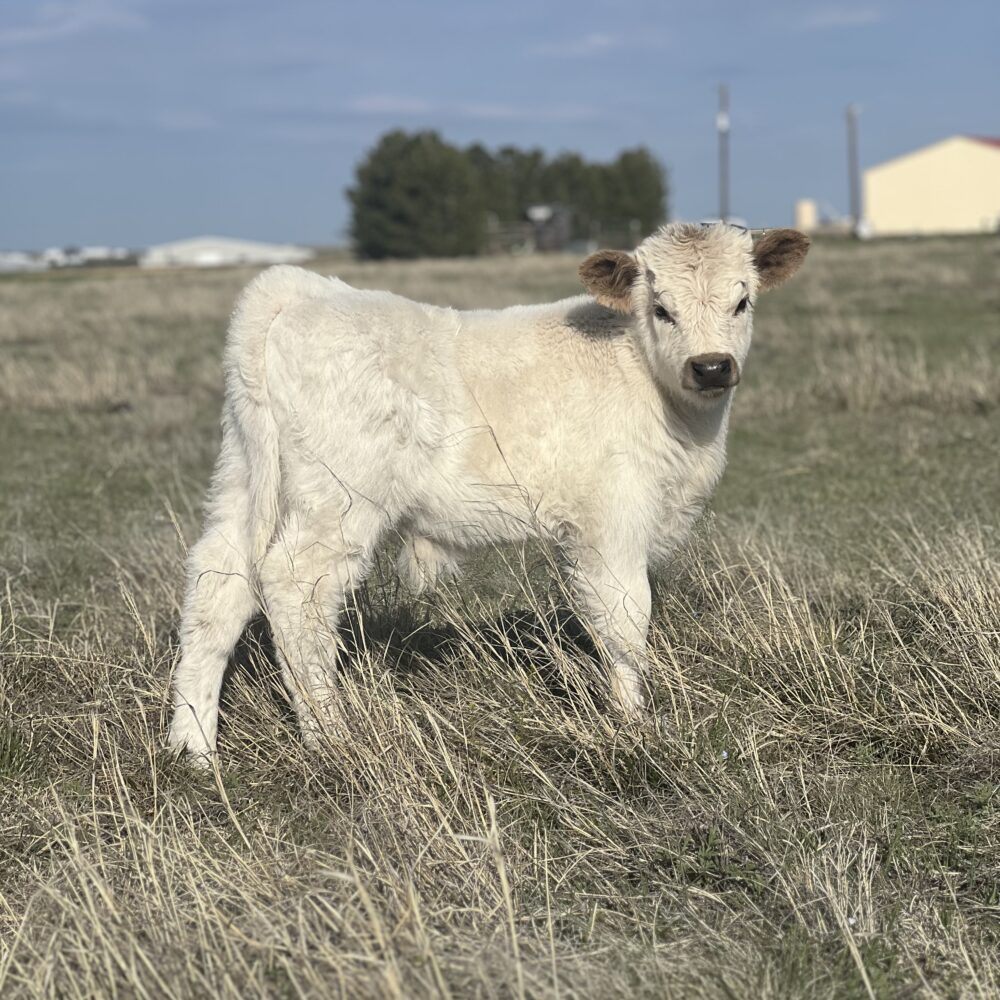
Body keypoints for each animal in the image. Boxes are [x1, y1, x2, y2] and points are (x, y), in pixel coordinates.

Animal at [168, 223, 809, 761]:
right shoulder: (610, 522)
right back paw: (332, 737)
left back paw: (193, 749)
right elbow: (625, 619)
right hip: (338, 498)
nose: (711, 366)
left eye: (742, 301)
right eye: (661, 309)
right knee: (295, 587)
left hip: (243, 478)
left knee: (218, 584)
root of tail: (300, 291)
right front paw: (636, 727)